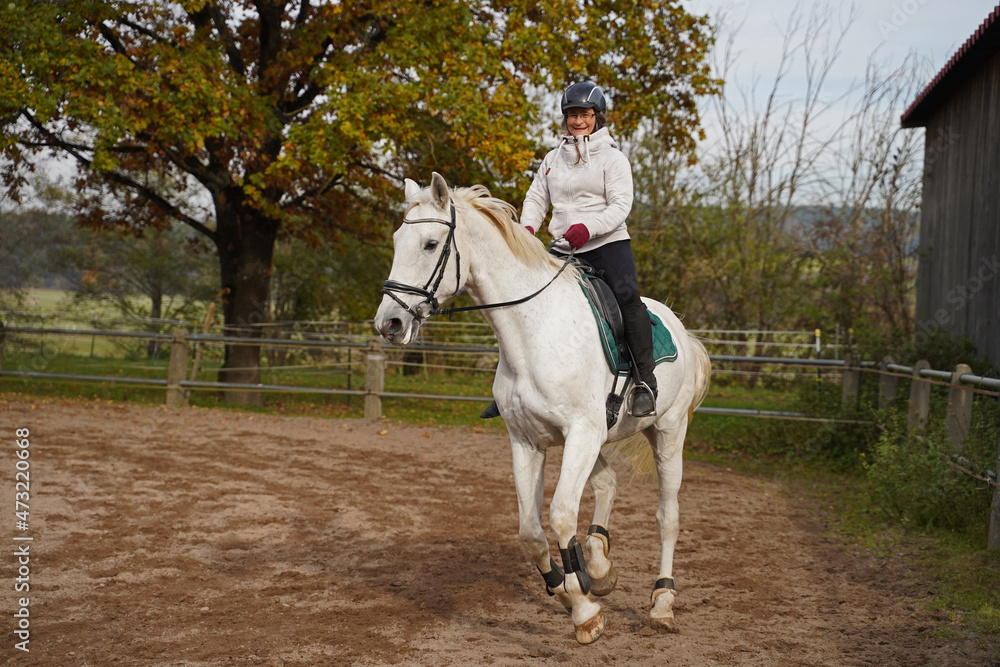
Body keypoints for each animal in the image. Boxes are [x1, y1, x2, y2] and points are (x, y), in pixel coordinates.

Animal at [374, 172, 711, 644]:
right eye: (396, 240)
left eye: (429, 243)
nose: (389, 323)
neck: (533, 332)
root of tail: (681, 329)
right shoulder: (528, 441)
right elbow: (531, 531)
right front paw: (571, 592)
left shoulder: (581, 434)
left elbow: (562, 514)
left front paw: (585, 614)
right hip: (597, 439)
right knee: (607, 484)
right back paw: (599, 567)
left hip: (666, 433)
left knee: (667, 516)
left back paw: (662, 602)